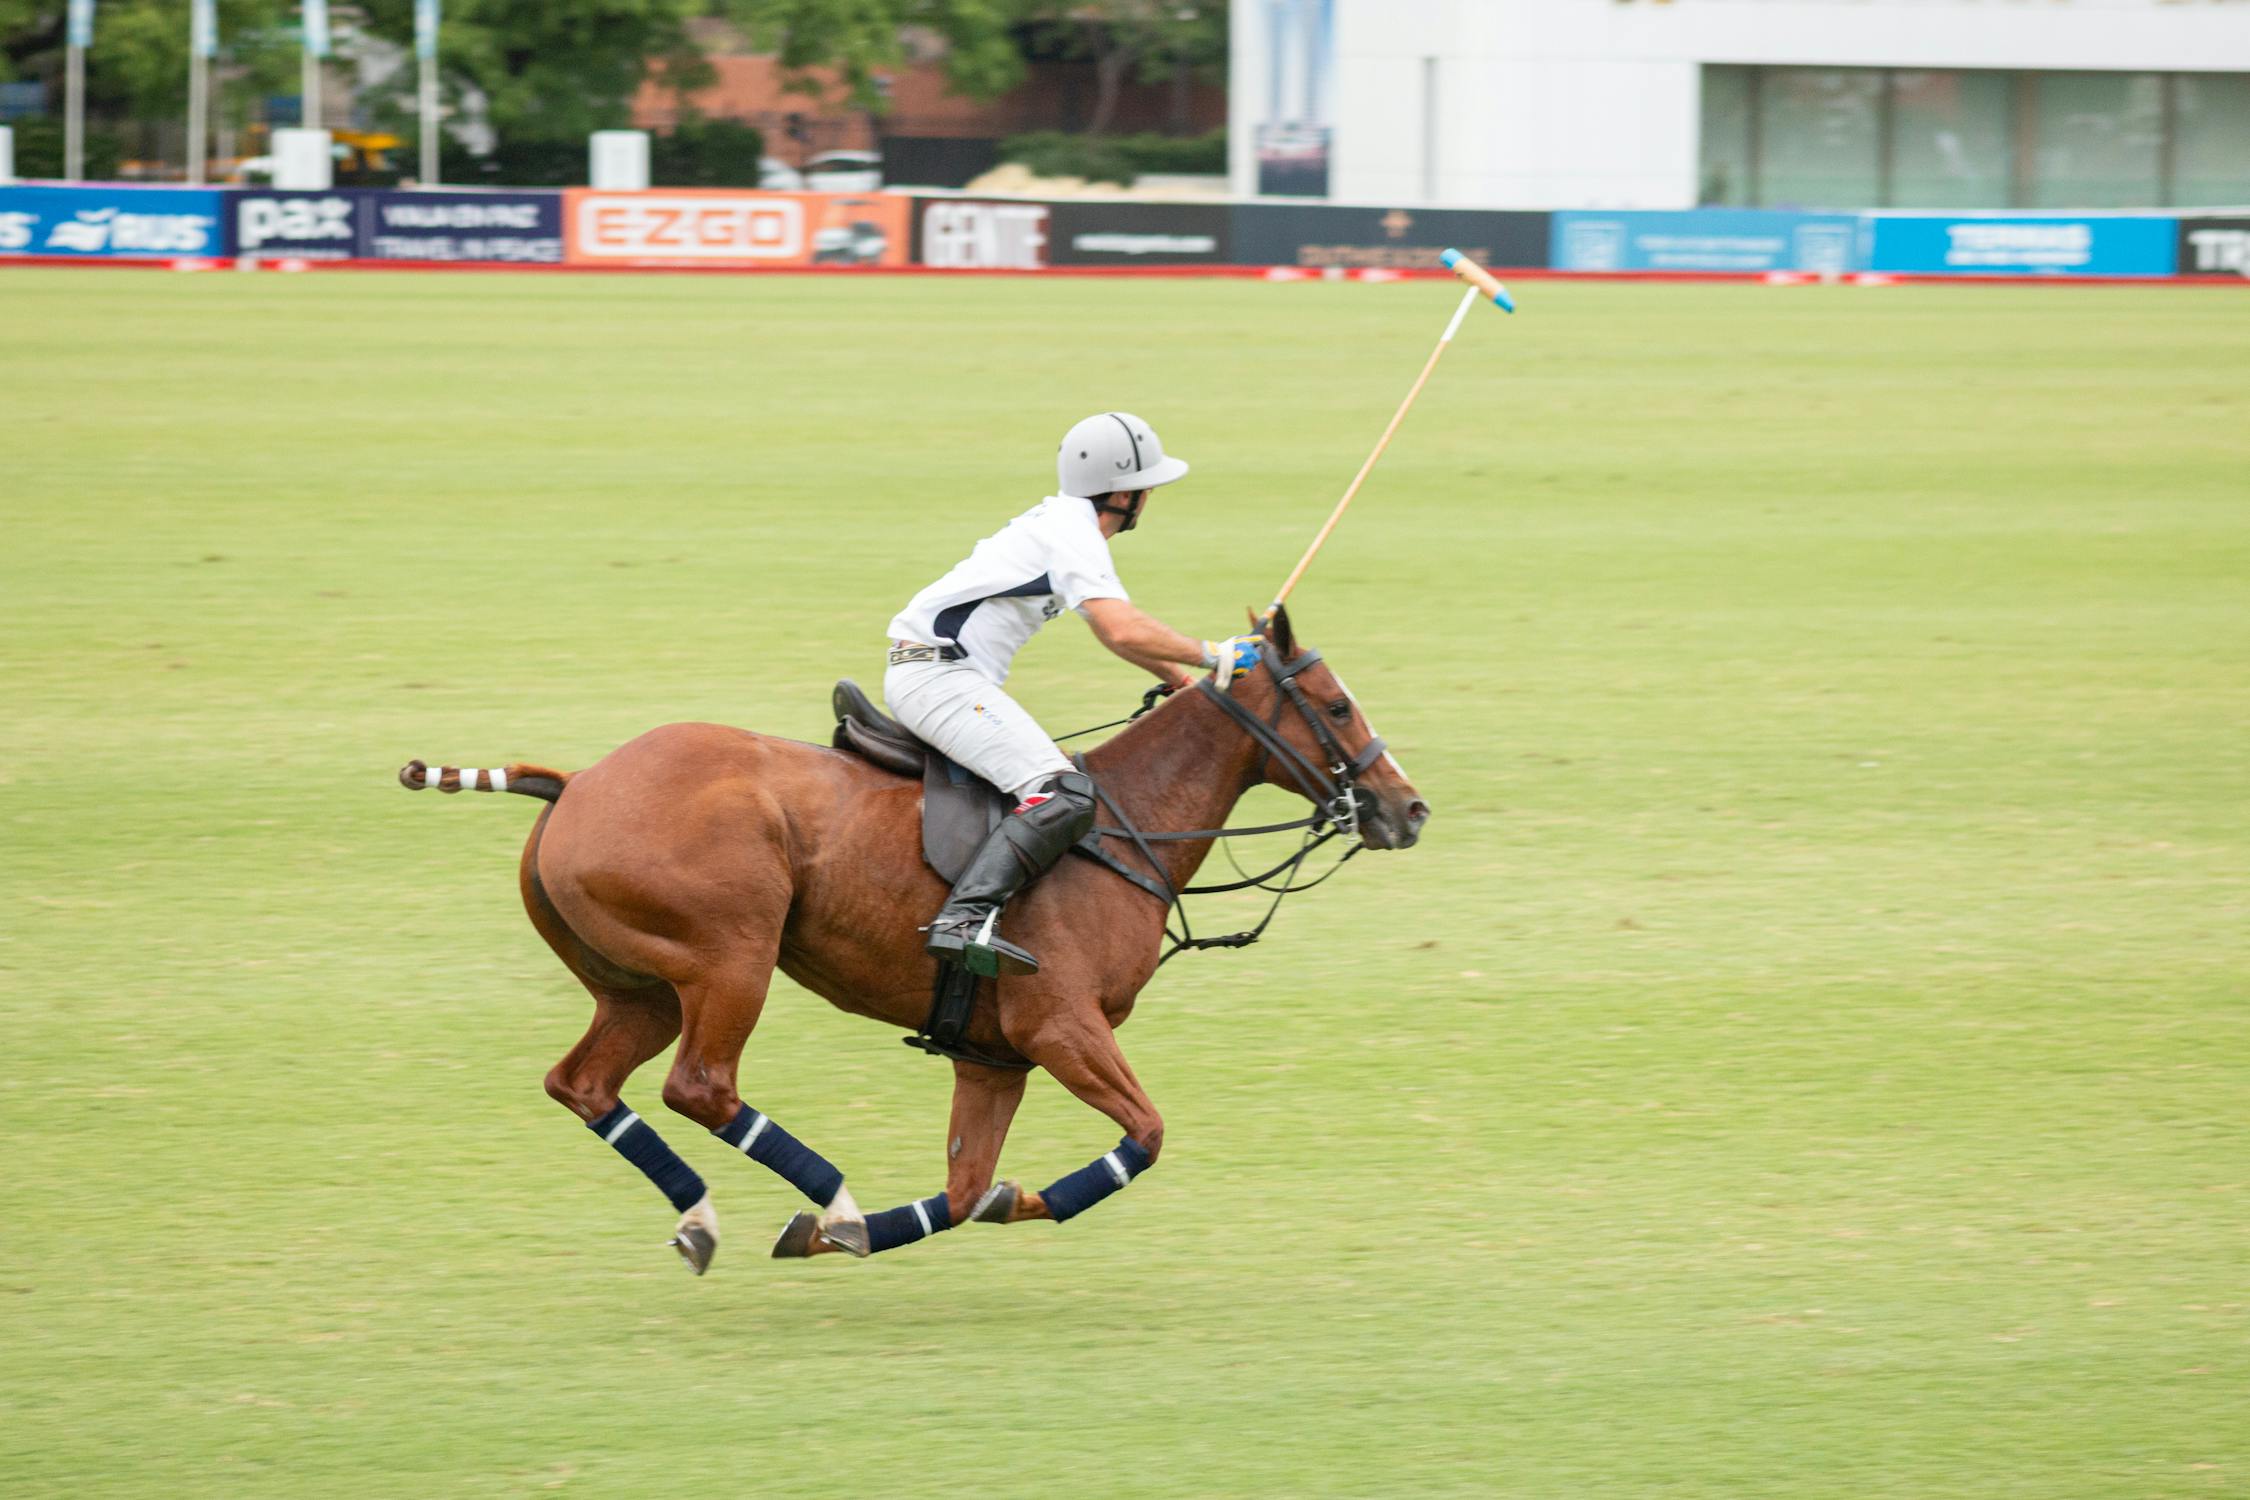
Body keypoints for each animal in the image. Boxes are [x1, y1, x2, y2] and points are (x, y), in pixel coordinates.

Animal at [400, 602, 1422, 1277]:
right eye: (1336, 707)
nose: (1407, 809)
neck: (1127, 825)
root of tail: (577, 782)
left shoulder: (994, 1056)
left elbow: (970, 1191)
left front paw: (908, 1219)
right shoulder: (1061, 1027)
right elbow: (1146, 1135)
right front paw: (846, 1225)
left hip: (638, 986)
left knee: (582, 1083)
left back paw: (710, 1220)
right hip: (732, 957)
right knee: (701, 1086)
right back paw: (835, 1202)